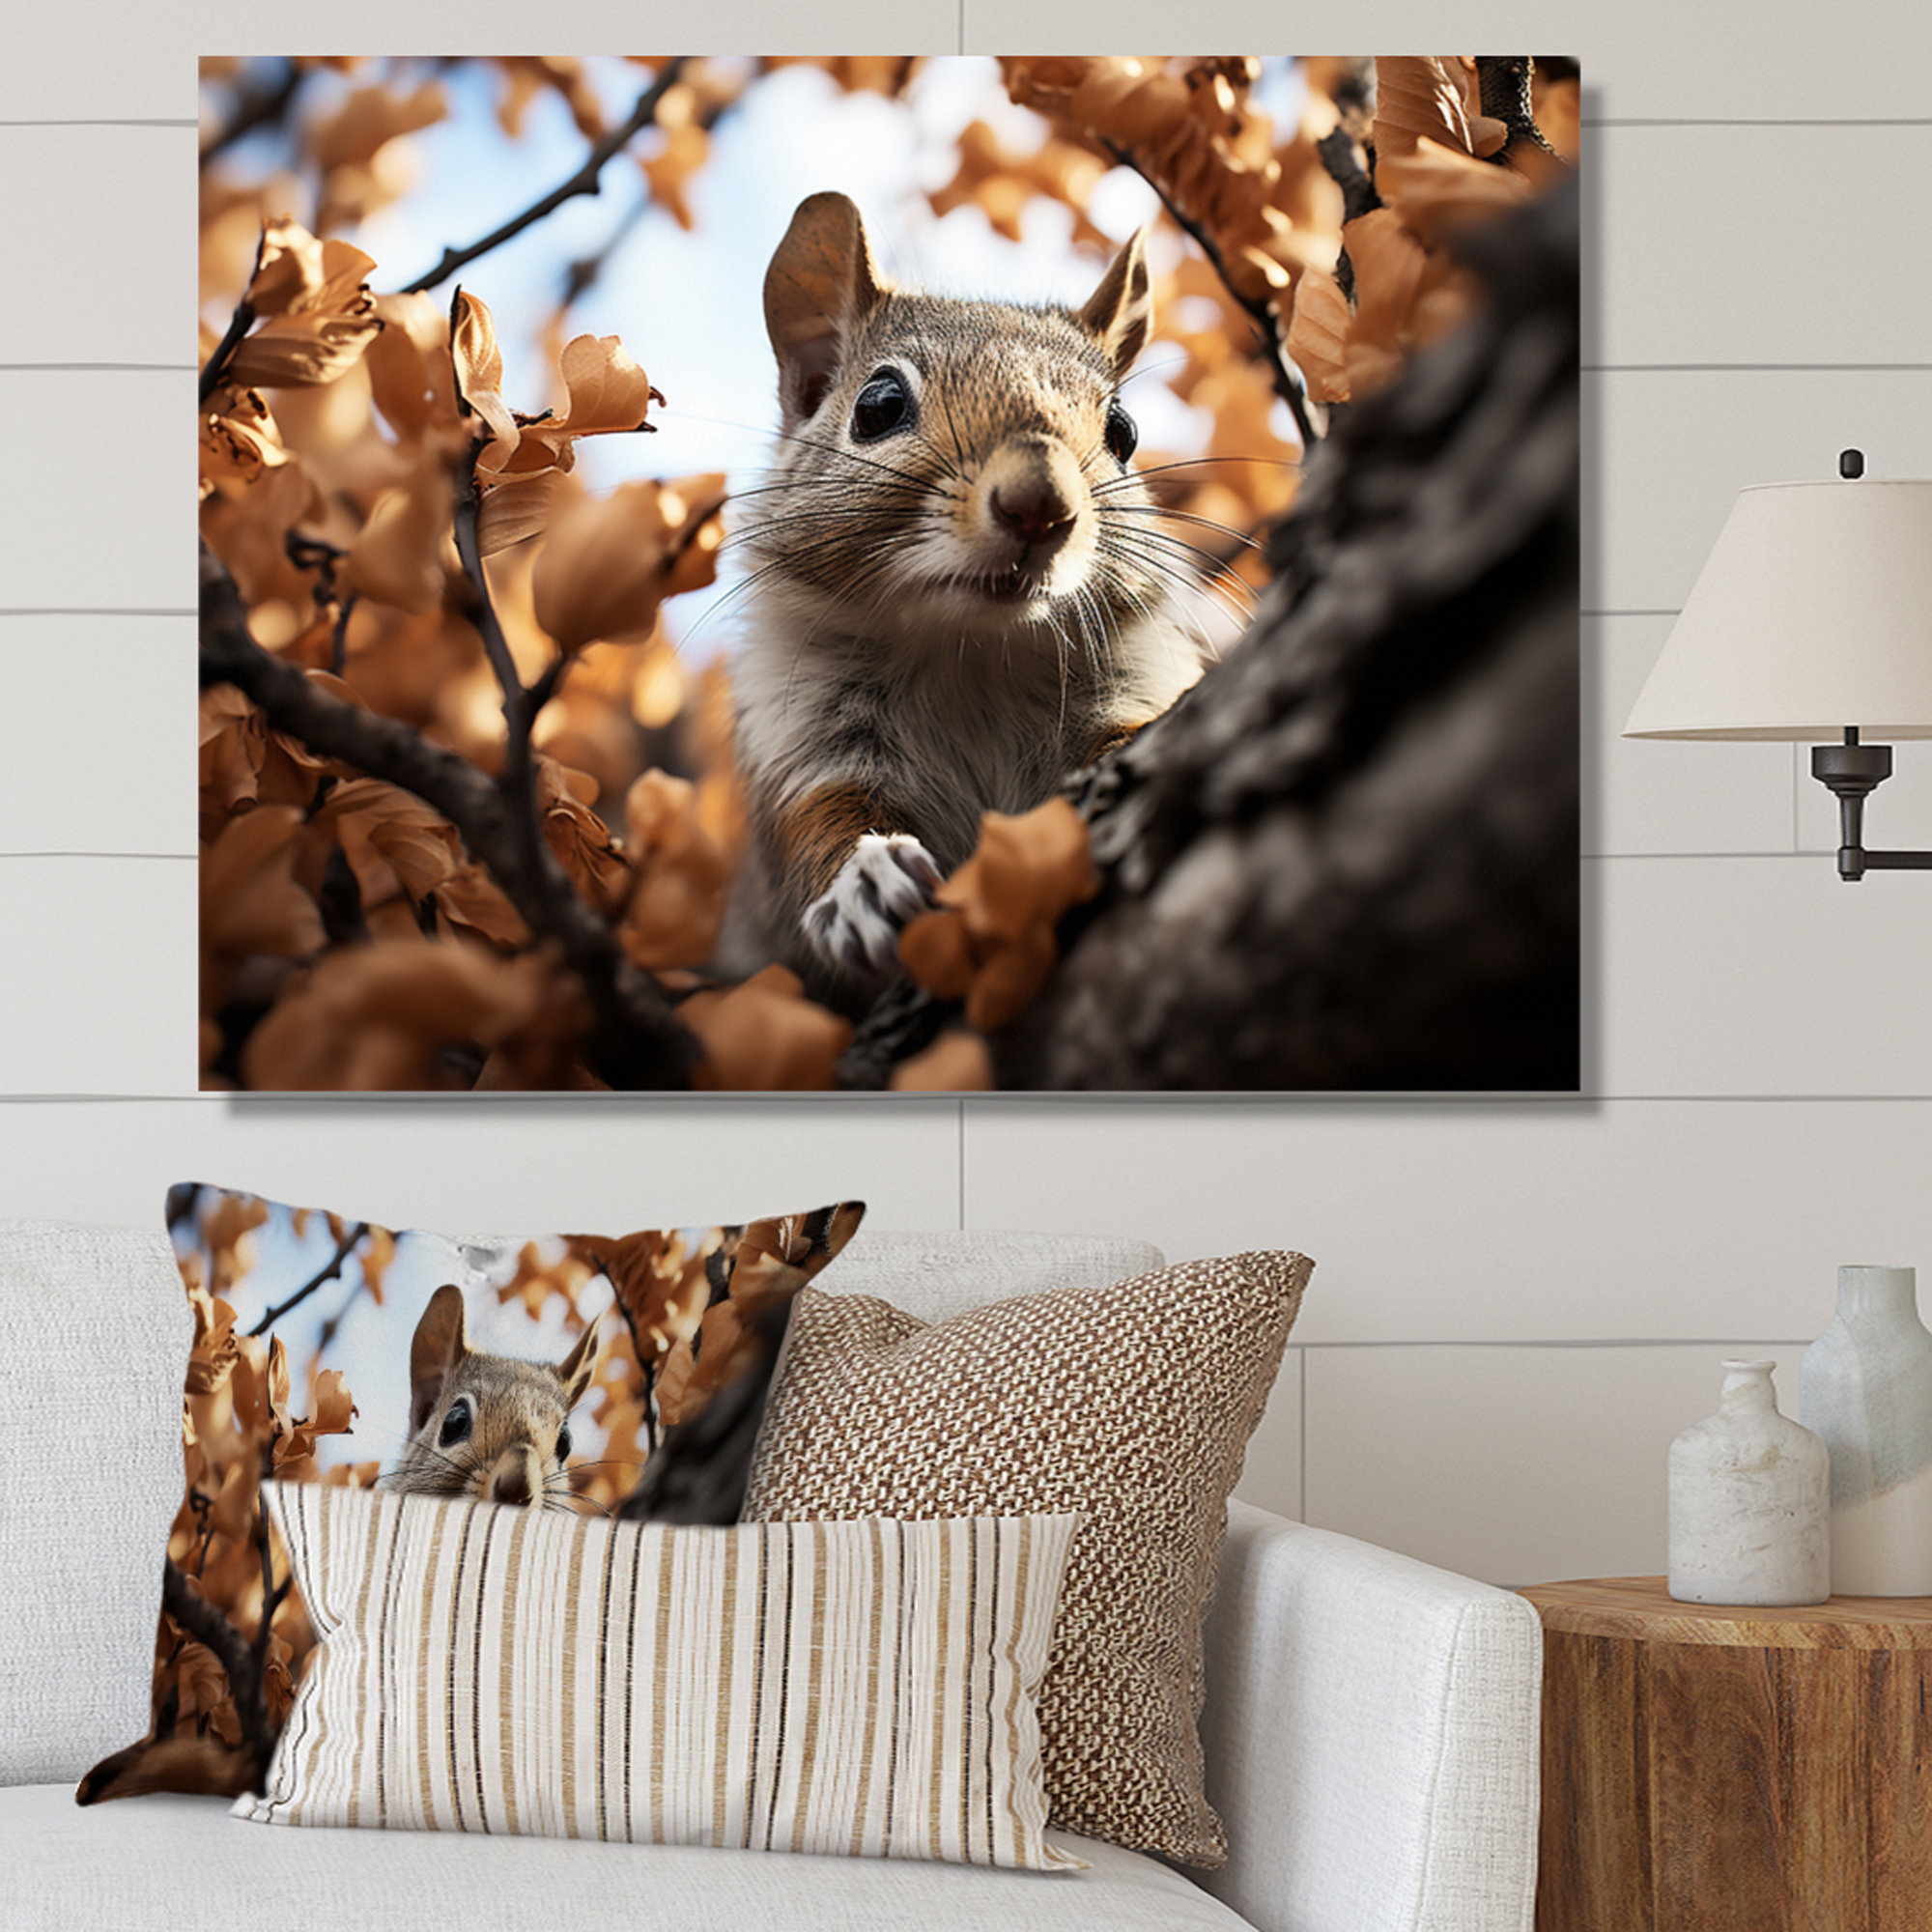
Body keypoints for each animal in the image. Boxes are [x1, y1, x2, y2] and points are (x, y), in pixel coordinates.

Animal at [715, 191, 1211, 1013]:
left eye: (1124, 431)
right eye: (878, 406)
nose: (1039, 505)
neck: (972, 654)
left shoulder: (1133, 682)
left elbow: (1131, 731)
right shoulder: (805, 738)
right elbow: (821, 824)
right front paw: (864, 884)